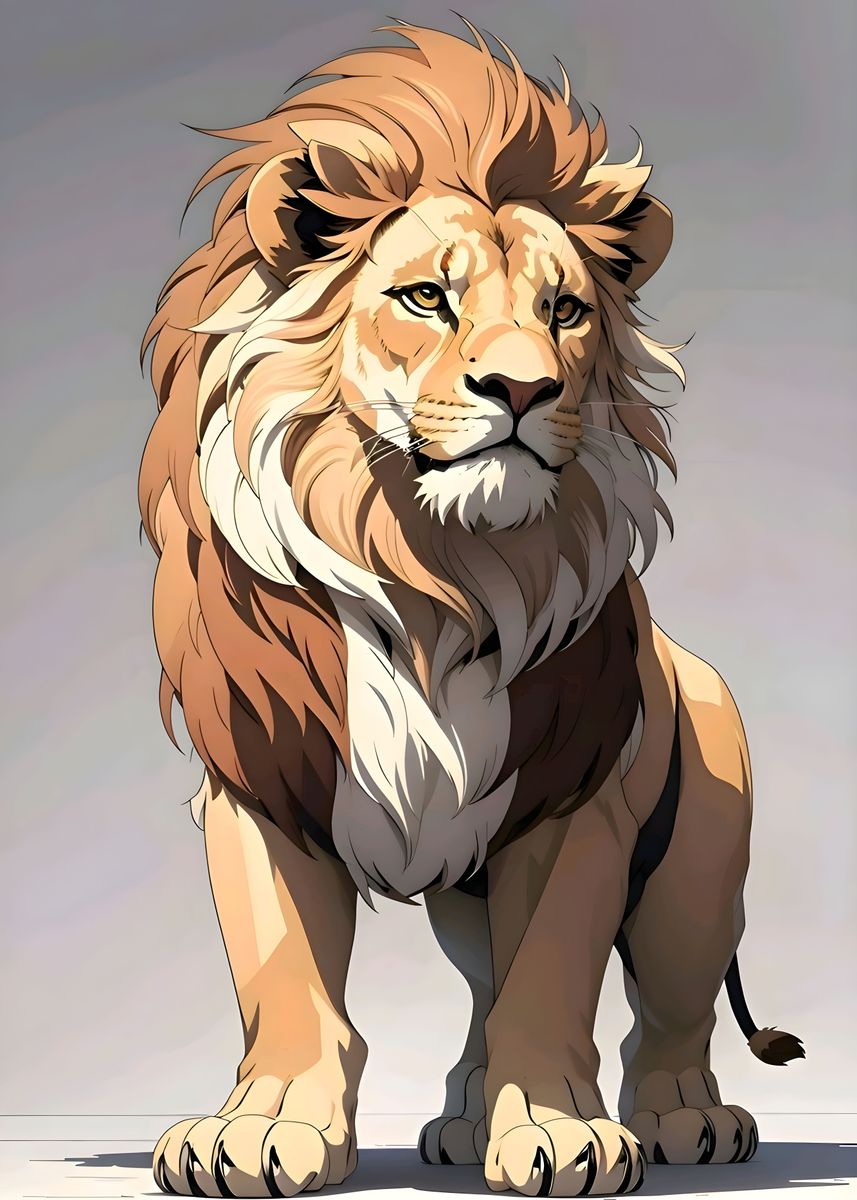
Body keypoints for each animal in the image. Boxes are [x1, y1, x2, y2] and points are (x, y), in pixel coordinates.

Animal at [139, 18, 803, 1198]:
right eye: (425, 300)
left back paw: (685, 1119)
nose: (526, 388)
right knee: (485, 989)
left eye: (563, 311)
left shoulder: (572, 800)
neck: (432, 567)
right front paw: (259, 1131)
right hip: (466, 893)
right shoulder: (259, 782)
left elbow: (553, 976)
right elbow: (284, 978)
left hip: (694, 876)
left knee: (666, 1012)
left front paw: (555, 1131)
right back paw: (458, 1118)